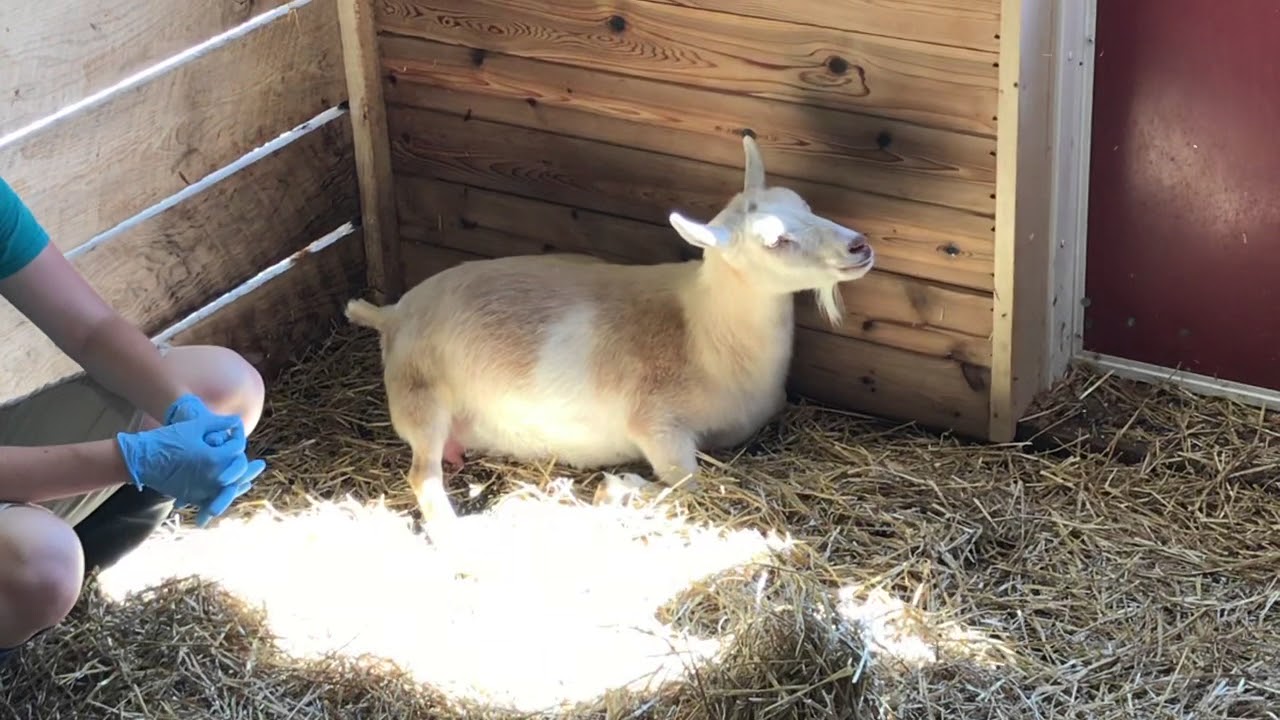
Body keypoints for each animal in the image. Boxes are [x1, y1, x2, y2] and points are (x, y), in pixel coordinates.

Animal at [345, 135, 874, 534]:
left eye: (804, 204)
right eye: (775, 240)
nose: (859, 245)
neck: (705, 330)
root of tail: (392, 313)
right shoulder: (656, 425)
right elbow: (690, 483)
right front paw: (617, 488)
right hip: (421, 398)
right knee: (421, 476)